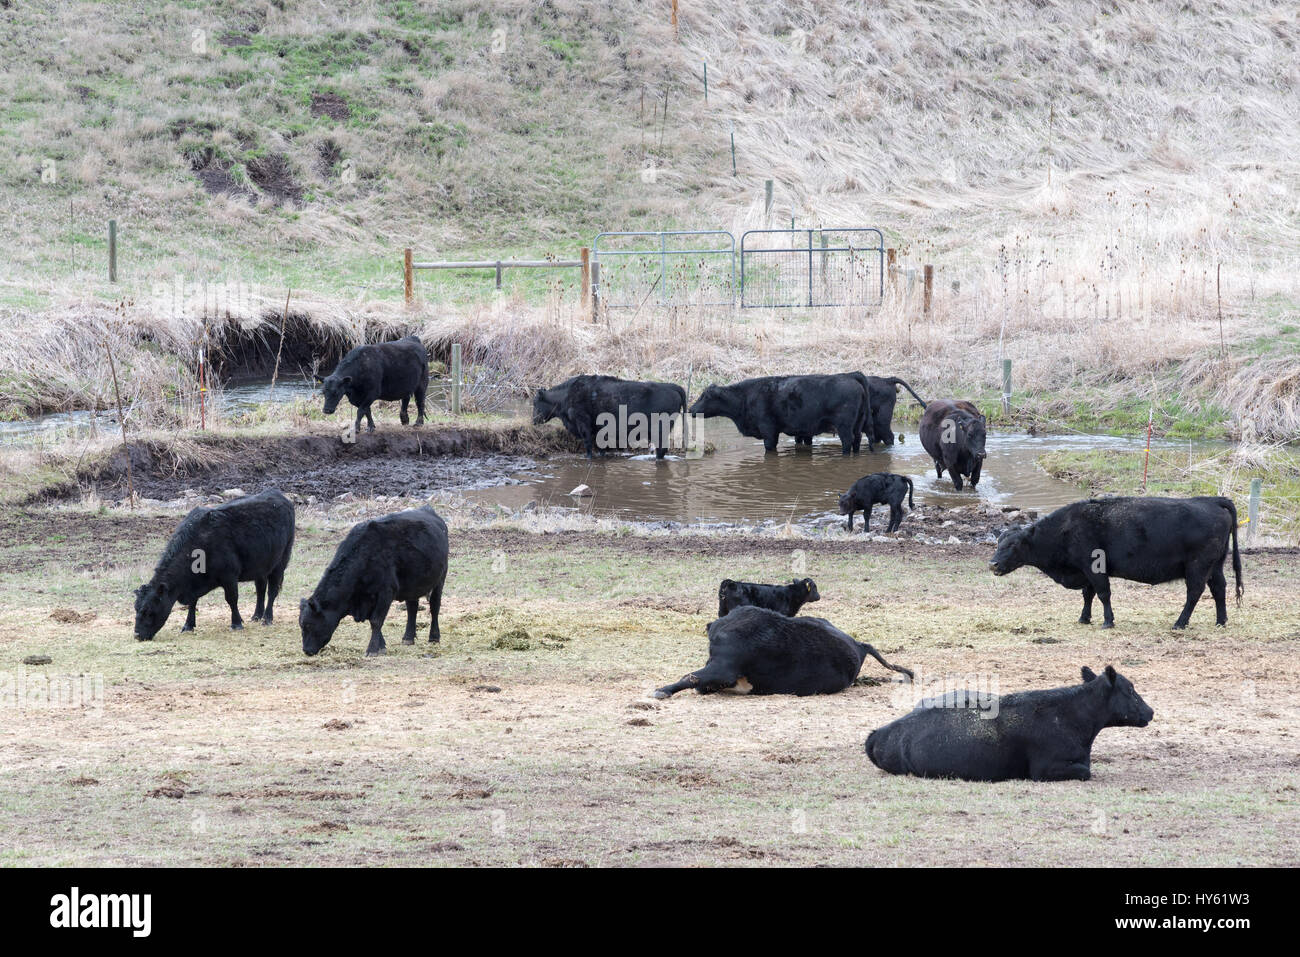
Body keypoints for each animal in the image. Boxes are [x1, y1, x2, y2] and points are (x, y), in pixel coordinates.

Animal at [133, 489, 295, 640]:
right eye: (136, 608)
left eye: (149, 611)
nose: (137, 635)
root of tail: (277, 494)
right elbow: (192, 603)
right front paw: (188, 625)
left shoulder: (229, 576)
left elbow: (232, 599)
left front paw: (236, 623)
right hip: (260, 566)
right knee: (260, 589)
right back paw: (256, 616)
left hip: (280, 563)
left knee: (272, 591)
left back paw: (267, 618)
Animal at [300, 506, 449, 657]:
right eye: (301, 625)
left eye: (308, 625)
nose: (306, 650)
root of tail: (428, 510)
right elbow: (373, 620)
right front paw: (381, 646)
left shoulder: (386, 591)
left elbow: (376, 621)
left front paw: (372, 649)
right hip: (412, 585)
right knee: (412, 607)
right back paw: (408, 638)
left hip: (440, 579)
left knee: (435, 606)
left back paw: (434, 637)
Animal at [533, 375, 686, 458]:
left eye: (535, 403)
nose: (533, 420)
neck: (567, 395)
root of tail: (672, 386)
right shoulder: (597, 430)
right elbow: (600, 447)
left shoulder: (583, 425)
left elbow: (588, 445)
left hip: (659, 430)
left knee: (661, 449)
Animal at [688, 374, 872, 455]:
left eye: (705, 396)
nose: (691, 409)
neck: (745, 397)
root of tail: (851, 377)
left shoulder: (769, 431)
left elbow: (769, 448)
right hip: (857, 425)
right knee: (857, 441)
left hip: (844, 426)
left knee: (847, 442)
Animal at [990, 496, 1243, 630]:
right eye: (998, 542)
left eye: (1013, 544)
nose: (992, 564)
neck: (1066, 529)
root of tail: (1211, 500)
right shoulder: (1086, 570)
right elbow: (1088, 594)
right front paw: (1084, 618)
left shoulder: (1094, 567)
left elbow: (1103, 593)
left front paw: (1107, 621)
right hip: (1215, 566)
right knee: (1219, 589)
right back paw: (1221, 621)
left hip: (1198, 566)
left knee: (1194, 593)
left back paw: (1180, 623)